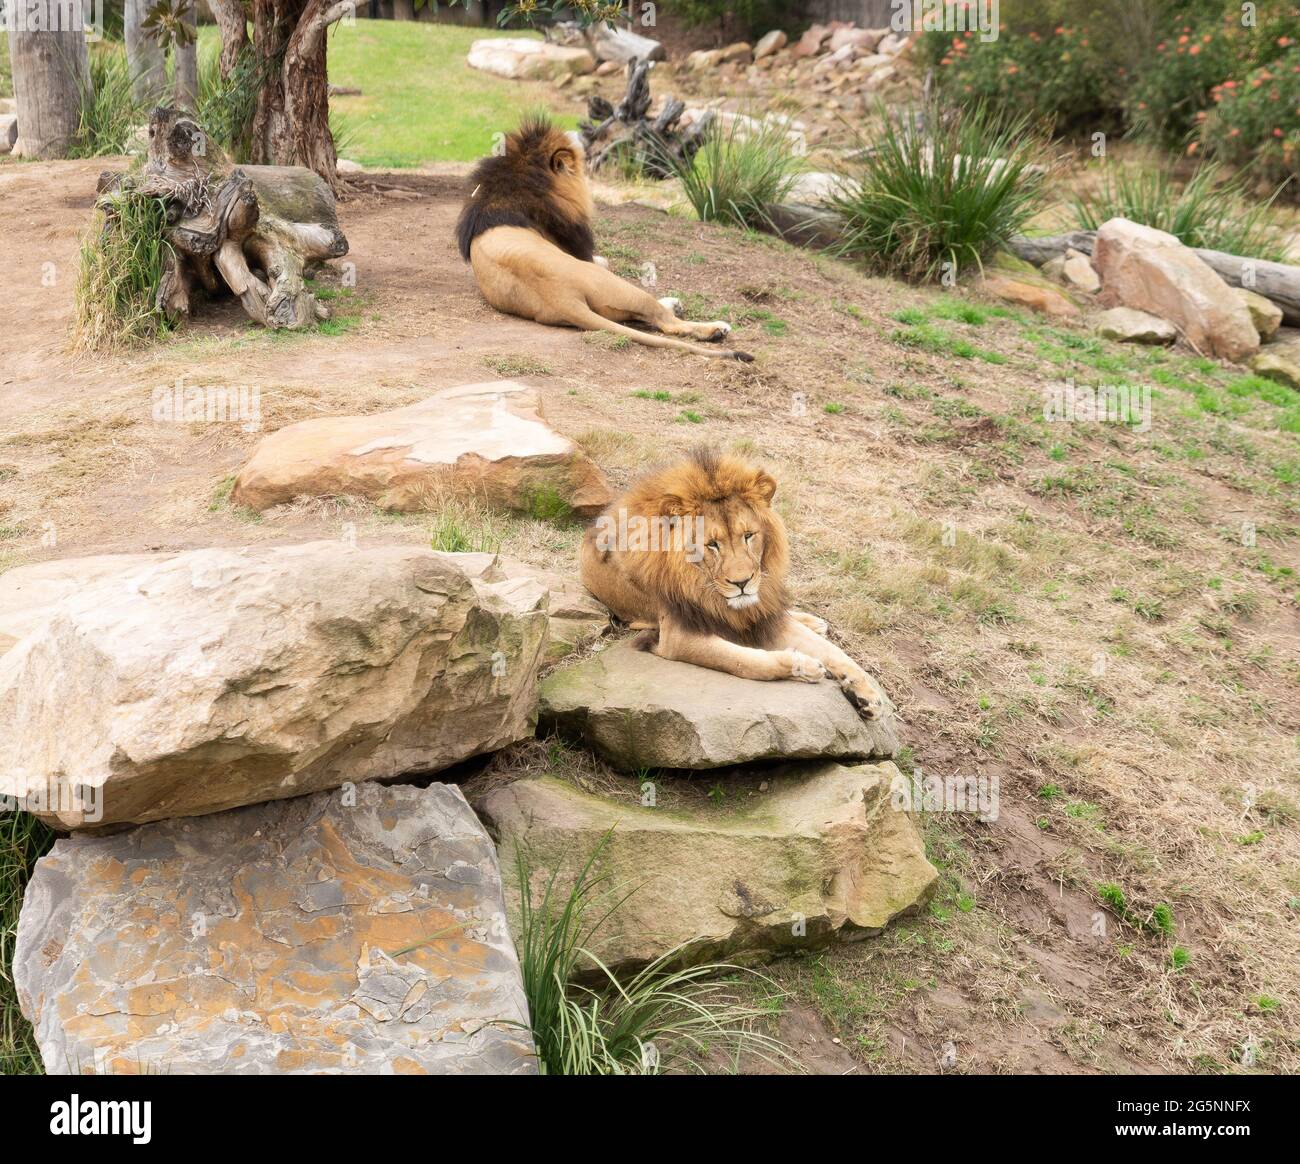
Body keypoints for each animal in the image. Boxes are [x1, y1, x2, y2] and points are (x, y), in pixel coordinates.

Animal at [456, 115, 752, 361]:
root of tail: (561, 298)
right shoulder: (583, 253)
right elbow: (606, 260)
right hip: (619, 287)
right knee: (667, 322)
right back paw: (715, 328)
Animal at [580, 447, 890, 719]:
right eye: (712, 544)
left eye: (748, 536)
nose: (742, 583)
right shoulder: (677, 637)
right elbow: (745, 661)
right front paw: (801, 665)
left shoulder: (761, 615)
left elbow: (834, 652)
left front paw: (867, 694)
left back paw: (813, 621)